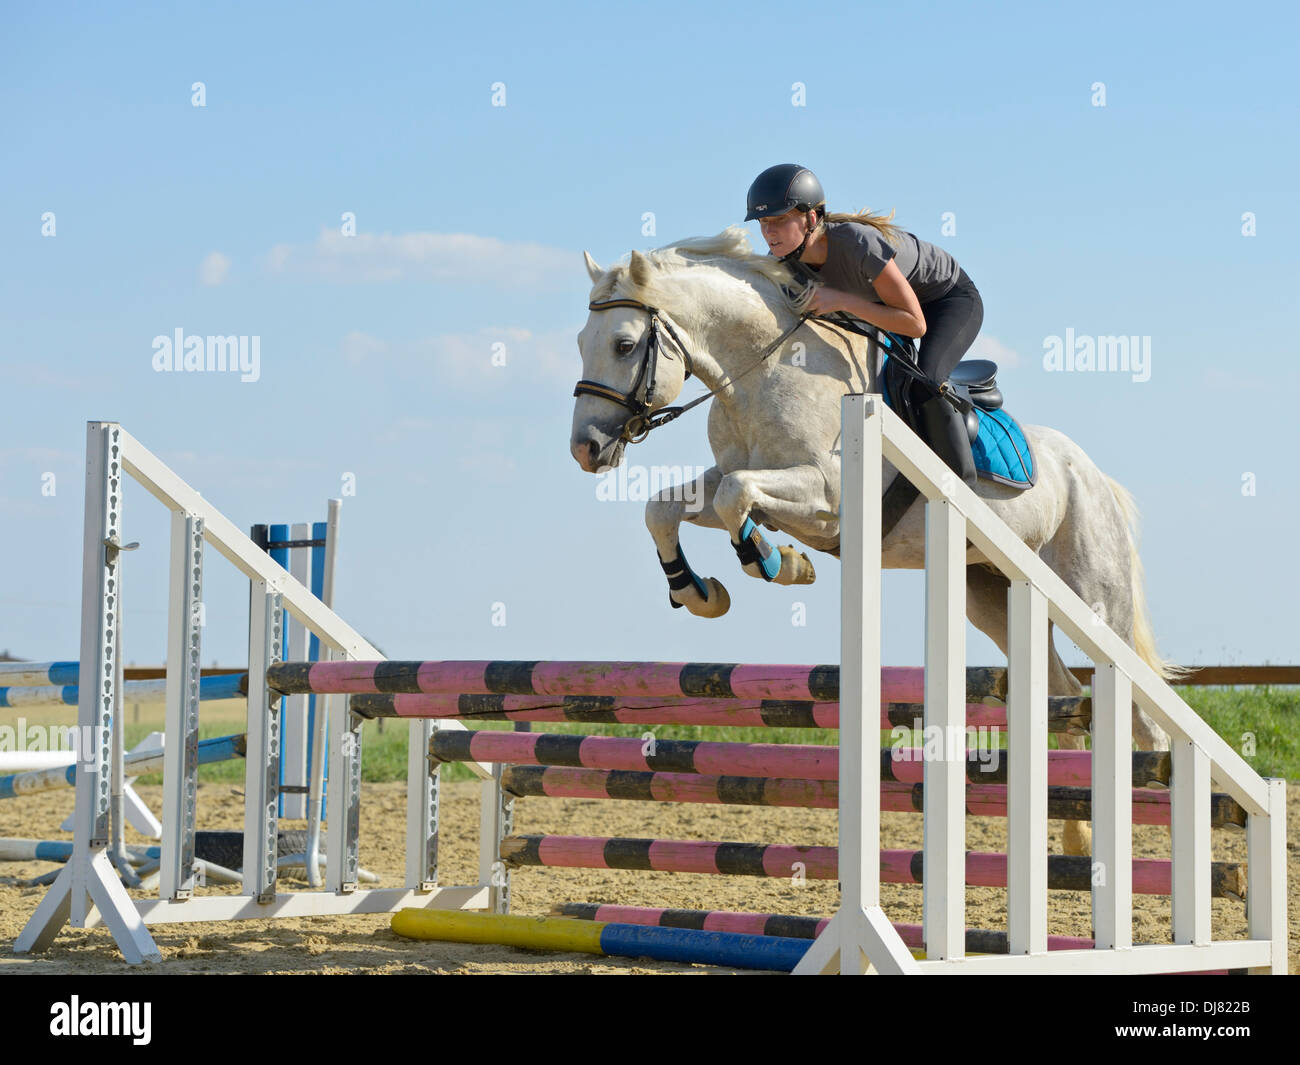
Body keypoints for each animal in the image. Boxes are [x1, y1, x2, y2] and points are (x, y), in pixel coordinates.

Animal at [568, 226, 1174, 856]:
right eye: (581, 341)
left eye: (623, 345)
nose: (586, 449)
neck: (763, 373)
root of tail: (1093, 474)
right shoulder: (731, 482)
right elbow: (666, 507)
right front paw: (699, 592)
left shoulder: (826, 496)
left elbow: (738, 496)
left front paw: (778, 562)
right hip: (994, 595)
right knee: (1063, 696)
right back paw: (1078, 837)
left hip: (1095, 597)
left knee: (1143, 713)